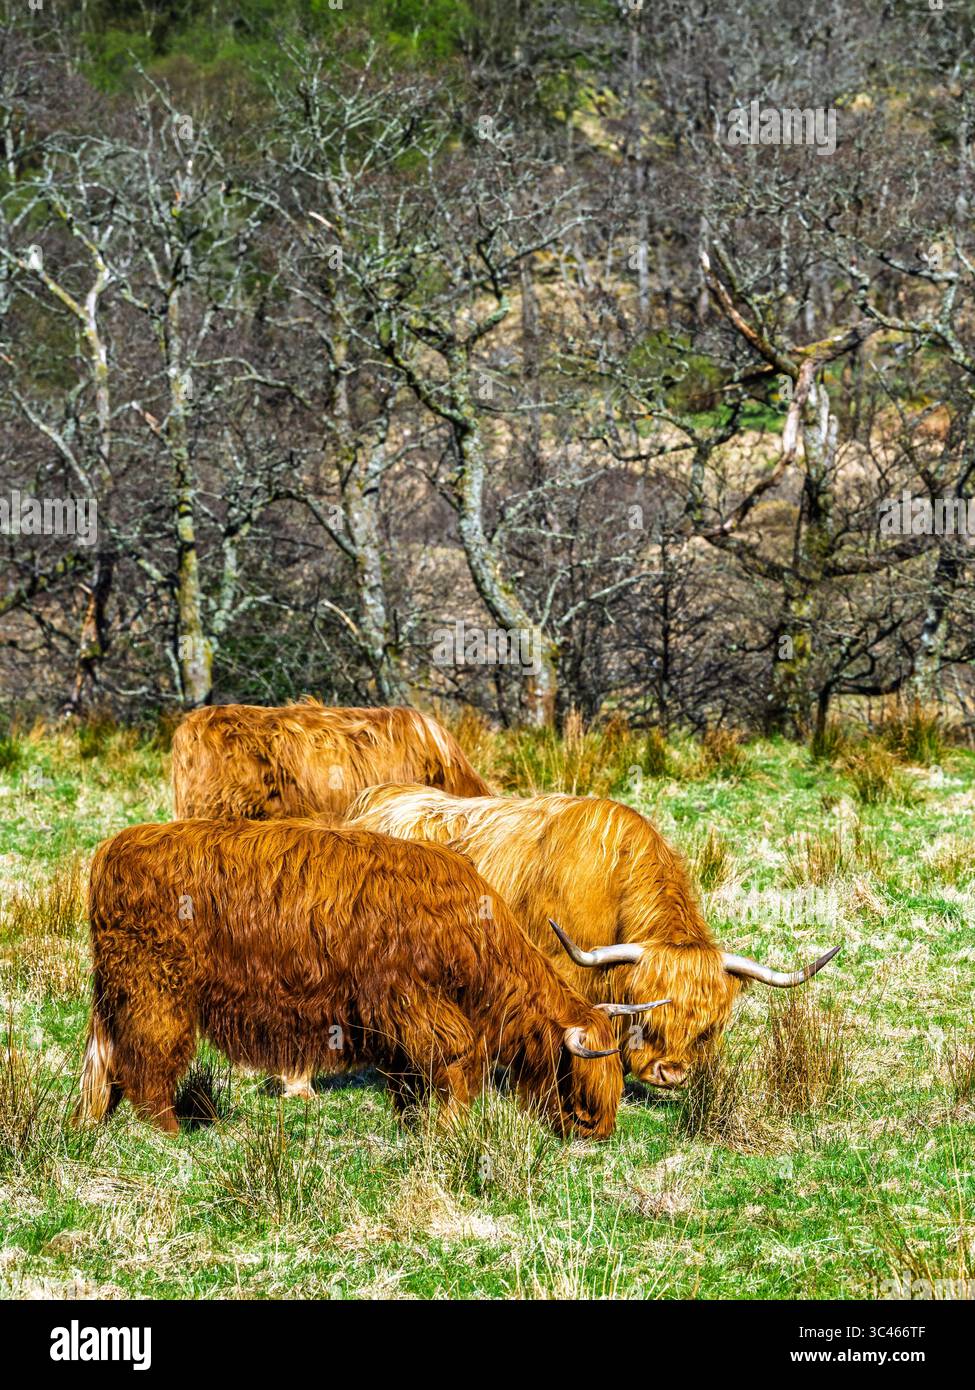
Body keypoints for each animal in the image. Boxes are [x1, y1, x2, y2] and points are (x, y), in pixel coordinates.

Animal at [76, 819, 666, 1138]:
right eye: (577, 1083)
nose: (594, 1132)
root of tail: (114, 848)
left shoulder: (393, 1024)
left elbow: (408, 1079)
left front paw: (413, 1125)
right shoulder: (408, 998)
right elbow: (458, 1058)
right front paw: (451, 1130)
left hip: (115, 992)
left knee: (104, 1058)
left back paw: (92, 1122)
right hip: (157, 991)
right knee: (150, 1060)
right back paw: (170, 1134)